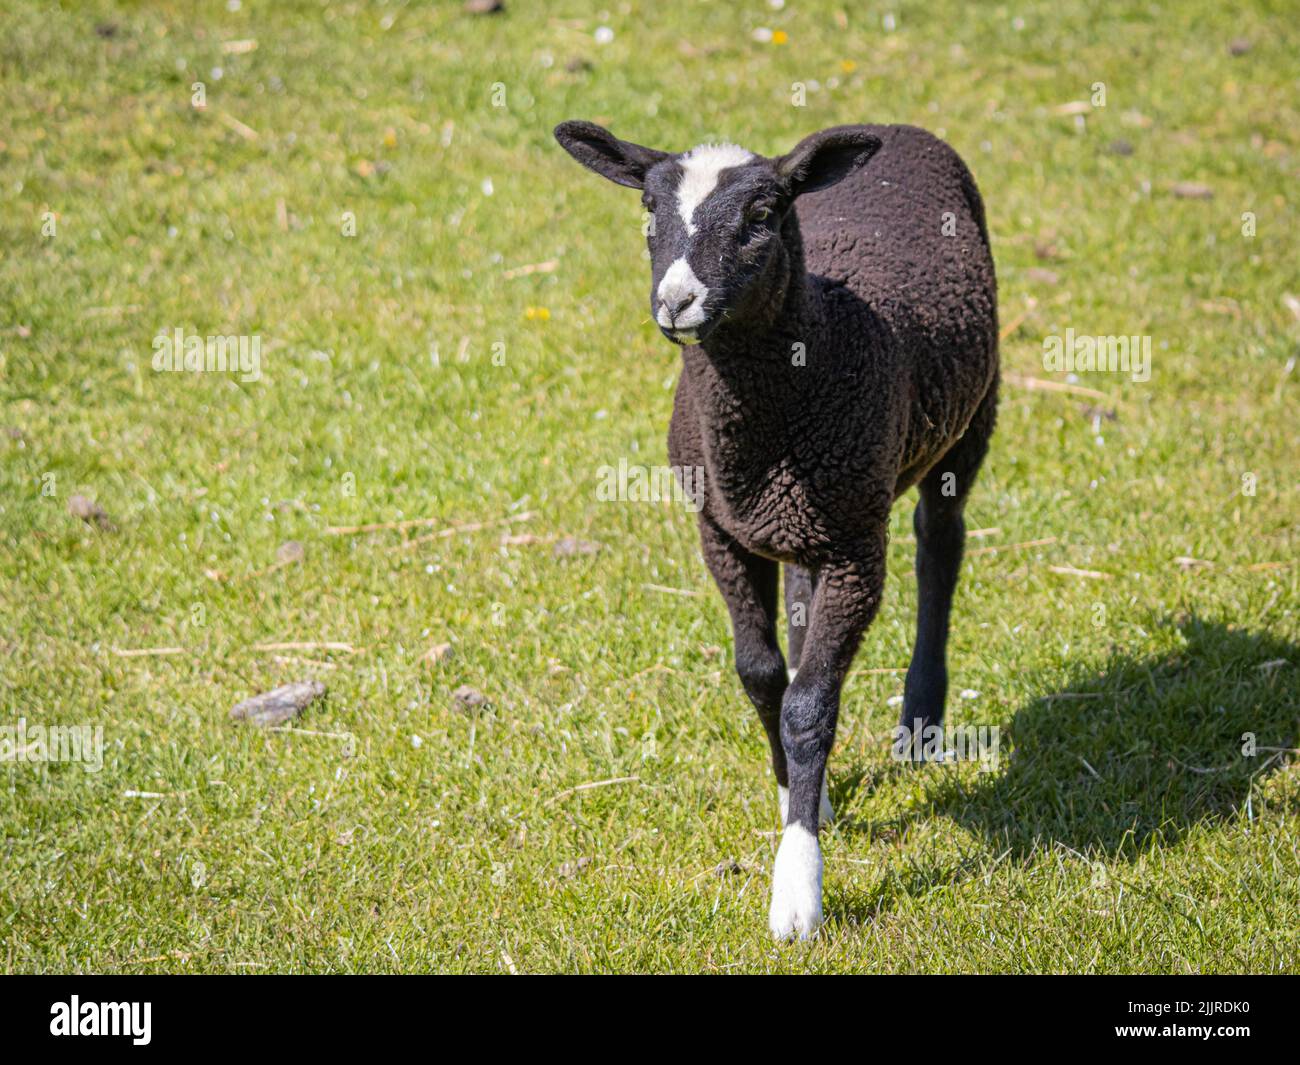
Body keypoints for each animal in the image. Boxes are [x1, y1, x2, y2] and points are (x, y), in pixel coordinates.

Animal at [554, 121, 999, 940]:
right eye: (648, 207)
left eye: (763, 214)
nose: (677, 301)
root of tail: (893, 127)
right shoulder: (720, 530)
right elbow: (762, 675)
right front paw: (802, 793)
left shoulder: (857, 544)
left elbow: (810, 703)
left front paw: (797, 885)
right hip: (803, 520)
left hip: (971, 415)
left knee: (940, 543)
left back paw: (921, 721)